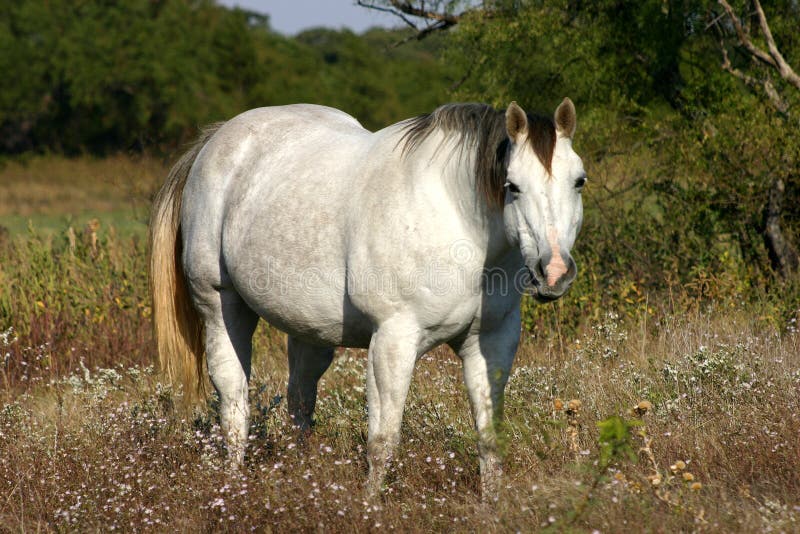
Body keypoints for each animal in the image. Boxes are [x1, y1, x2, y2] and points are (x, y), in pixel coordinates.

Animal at [149, 99, 586, 498]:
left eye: (579, 180)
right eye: (512, 186)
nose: (554, 272)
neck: (457, 218)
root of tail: (215, 140)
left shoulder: (491, 342)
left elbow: (490, 437)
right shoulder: (393, 341)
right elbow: (383, 441)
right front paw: (372, 509)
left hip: (309, 330)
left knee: (300, 400)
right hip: (221, 307)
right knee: (234, 405)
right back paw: (233, 486)